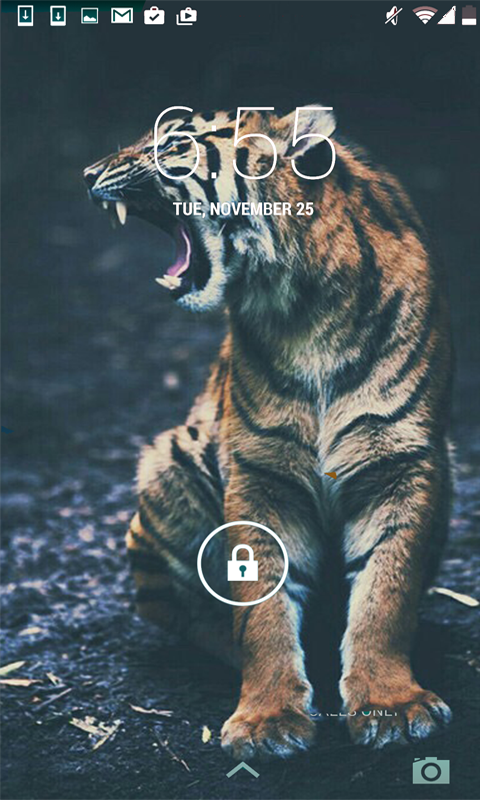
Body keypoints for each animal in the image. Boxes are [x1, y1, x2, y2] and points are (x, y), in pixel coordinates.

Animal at [84, 105, 454, 760]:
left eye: (174, 143)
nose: (87, 174)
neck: (305, 309)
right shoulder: (261, 472)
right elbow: (259, 607)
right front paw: (268, 719)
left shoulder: (402, 463)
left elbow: (386, 593)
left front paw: (391, 706)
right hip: (169, 461)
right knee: (178, 611)